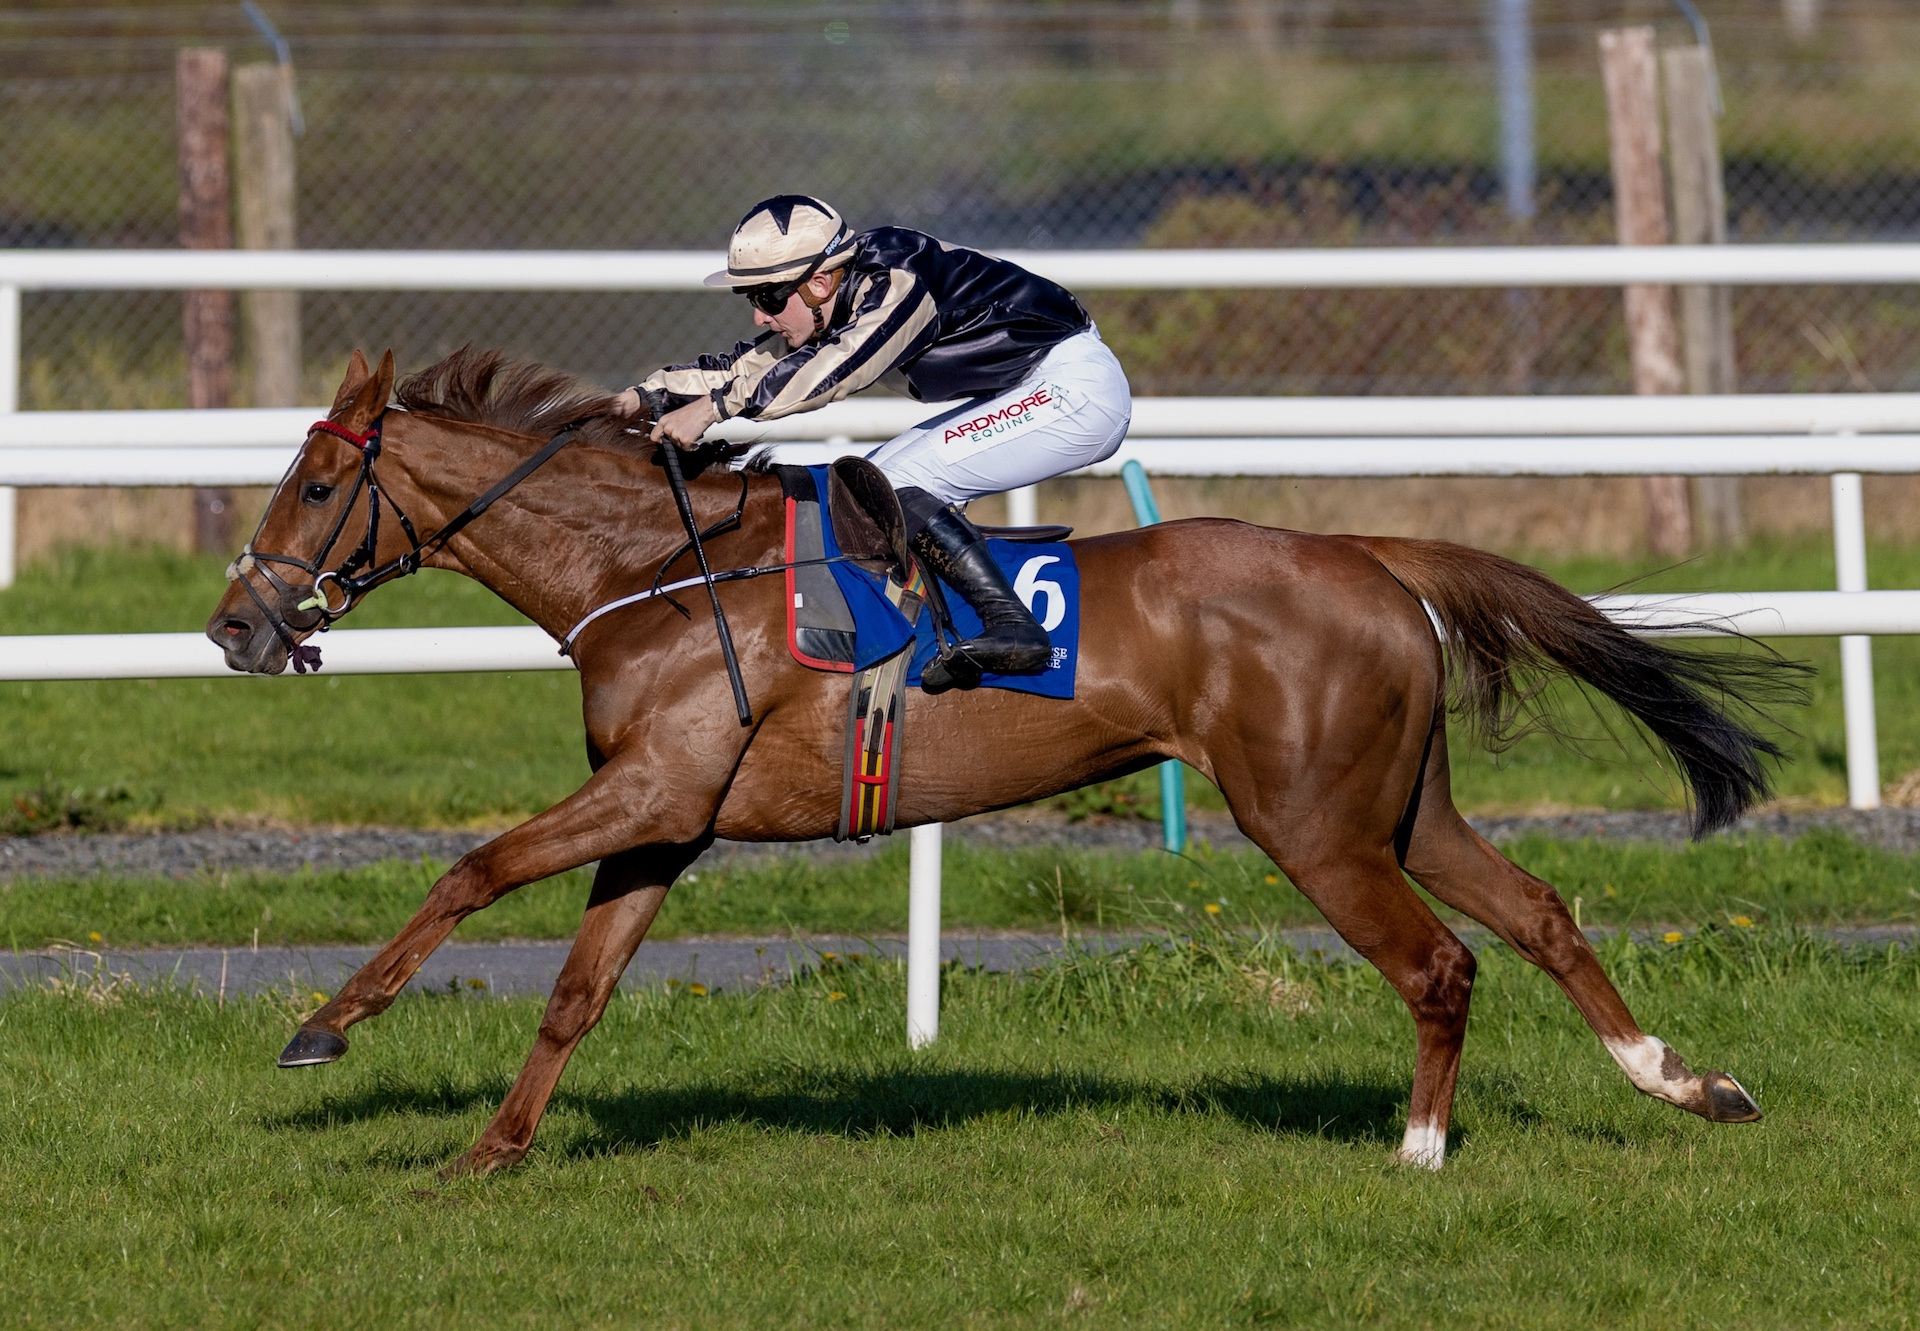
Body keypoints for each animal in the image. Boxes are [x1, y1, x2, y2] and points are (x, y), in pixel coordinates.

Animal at [207, 346, 1797, 1176]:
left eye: (316, 481)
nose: (235, 622)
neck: (654, 567)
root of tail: (1364, 550)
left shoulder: (653, 788)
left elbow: (470, 867)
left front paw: (325, 1026)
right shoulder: (665, 816)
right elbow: (577, 991)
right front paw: (491, 1150)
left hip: (1311, 819)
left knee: (1439, 961)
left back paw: (1417, 1147)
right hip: (1398, 803)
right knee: (1537, 914)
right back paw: (1686, 1080)